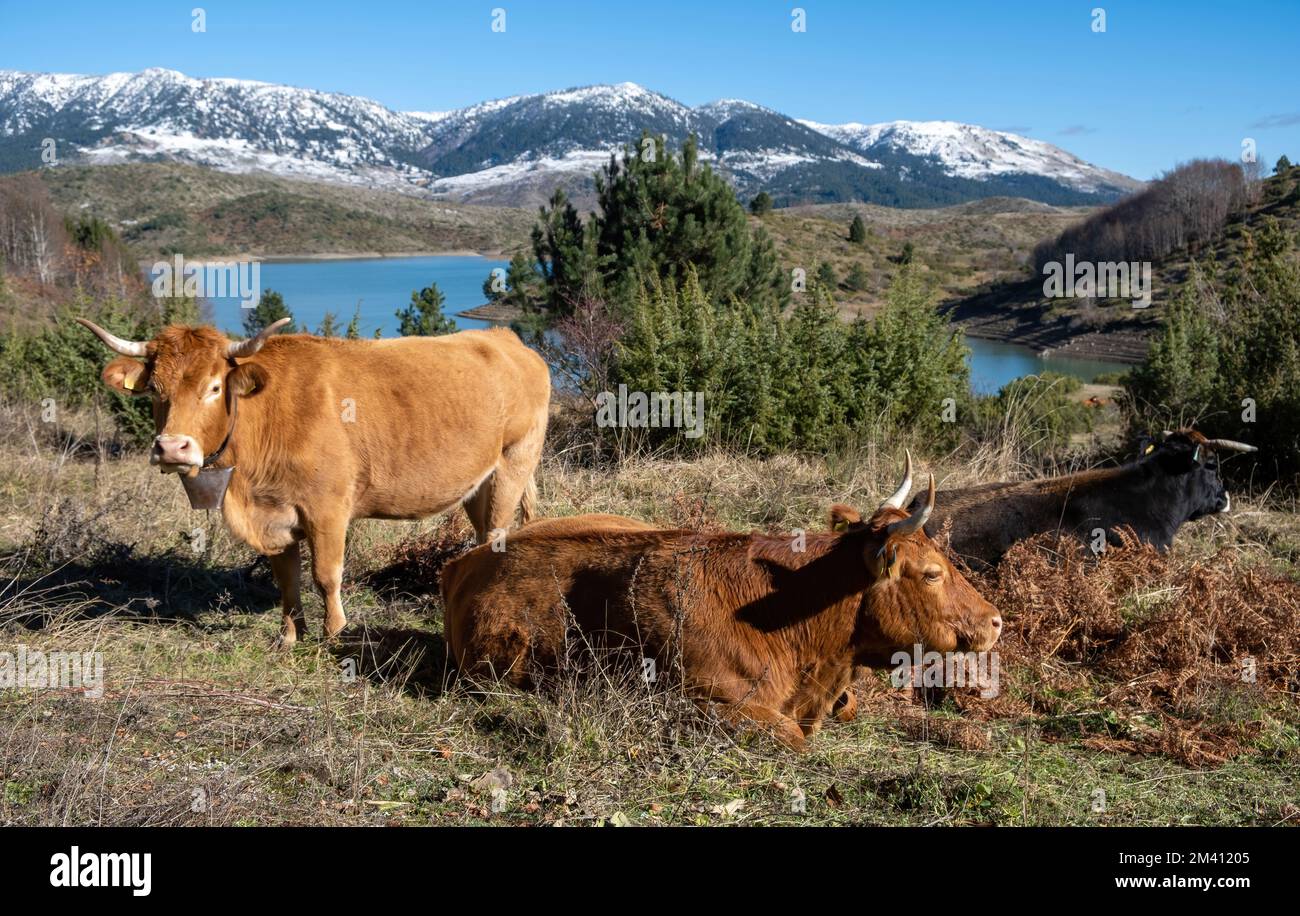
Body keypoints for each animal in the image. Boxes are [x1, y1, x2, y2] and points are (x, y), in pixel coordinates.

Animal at [77, 316, 550, 646]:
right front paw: (289, 635)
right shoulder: (274, 514)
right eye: (156, 389)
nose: (172, 448)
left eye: (213, 387)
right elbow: (287, 577)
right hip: (478, 483)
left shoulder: (328, 508)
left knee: (496, 533)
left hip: (514, 462)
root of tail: (504, 338)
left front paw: (335, 631)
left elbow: (326, 573)